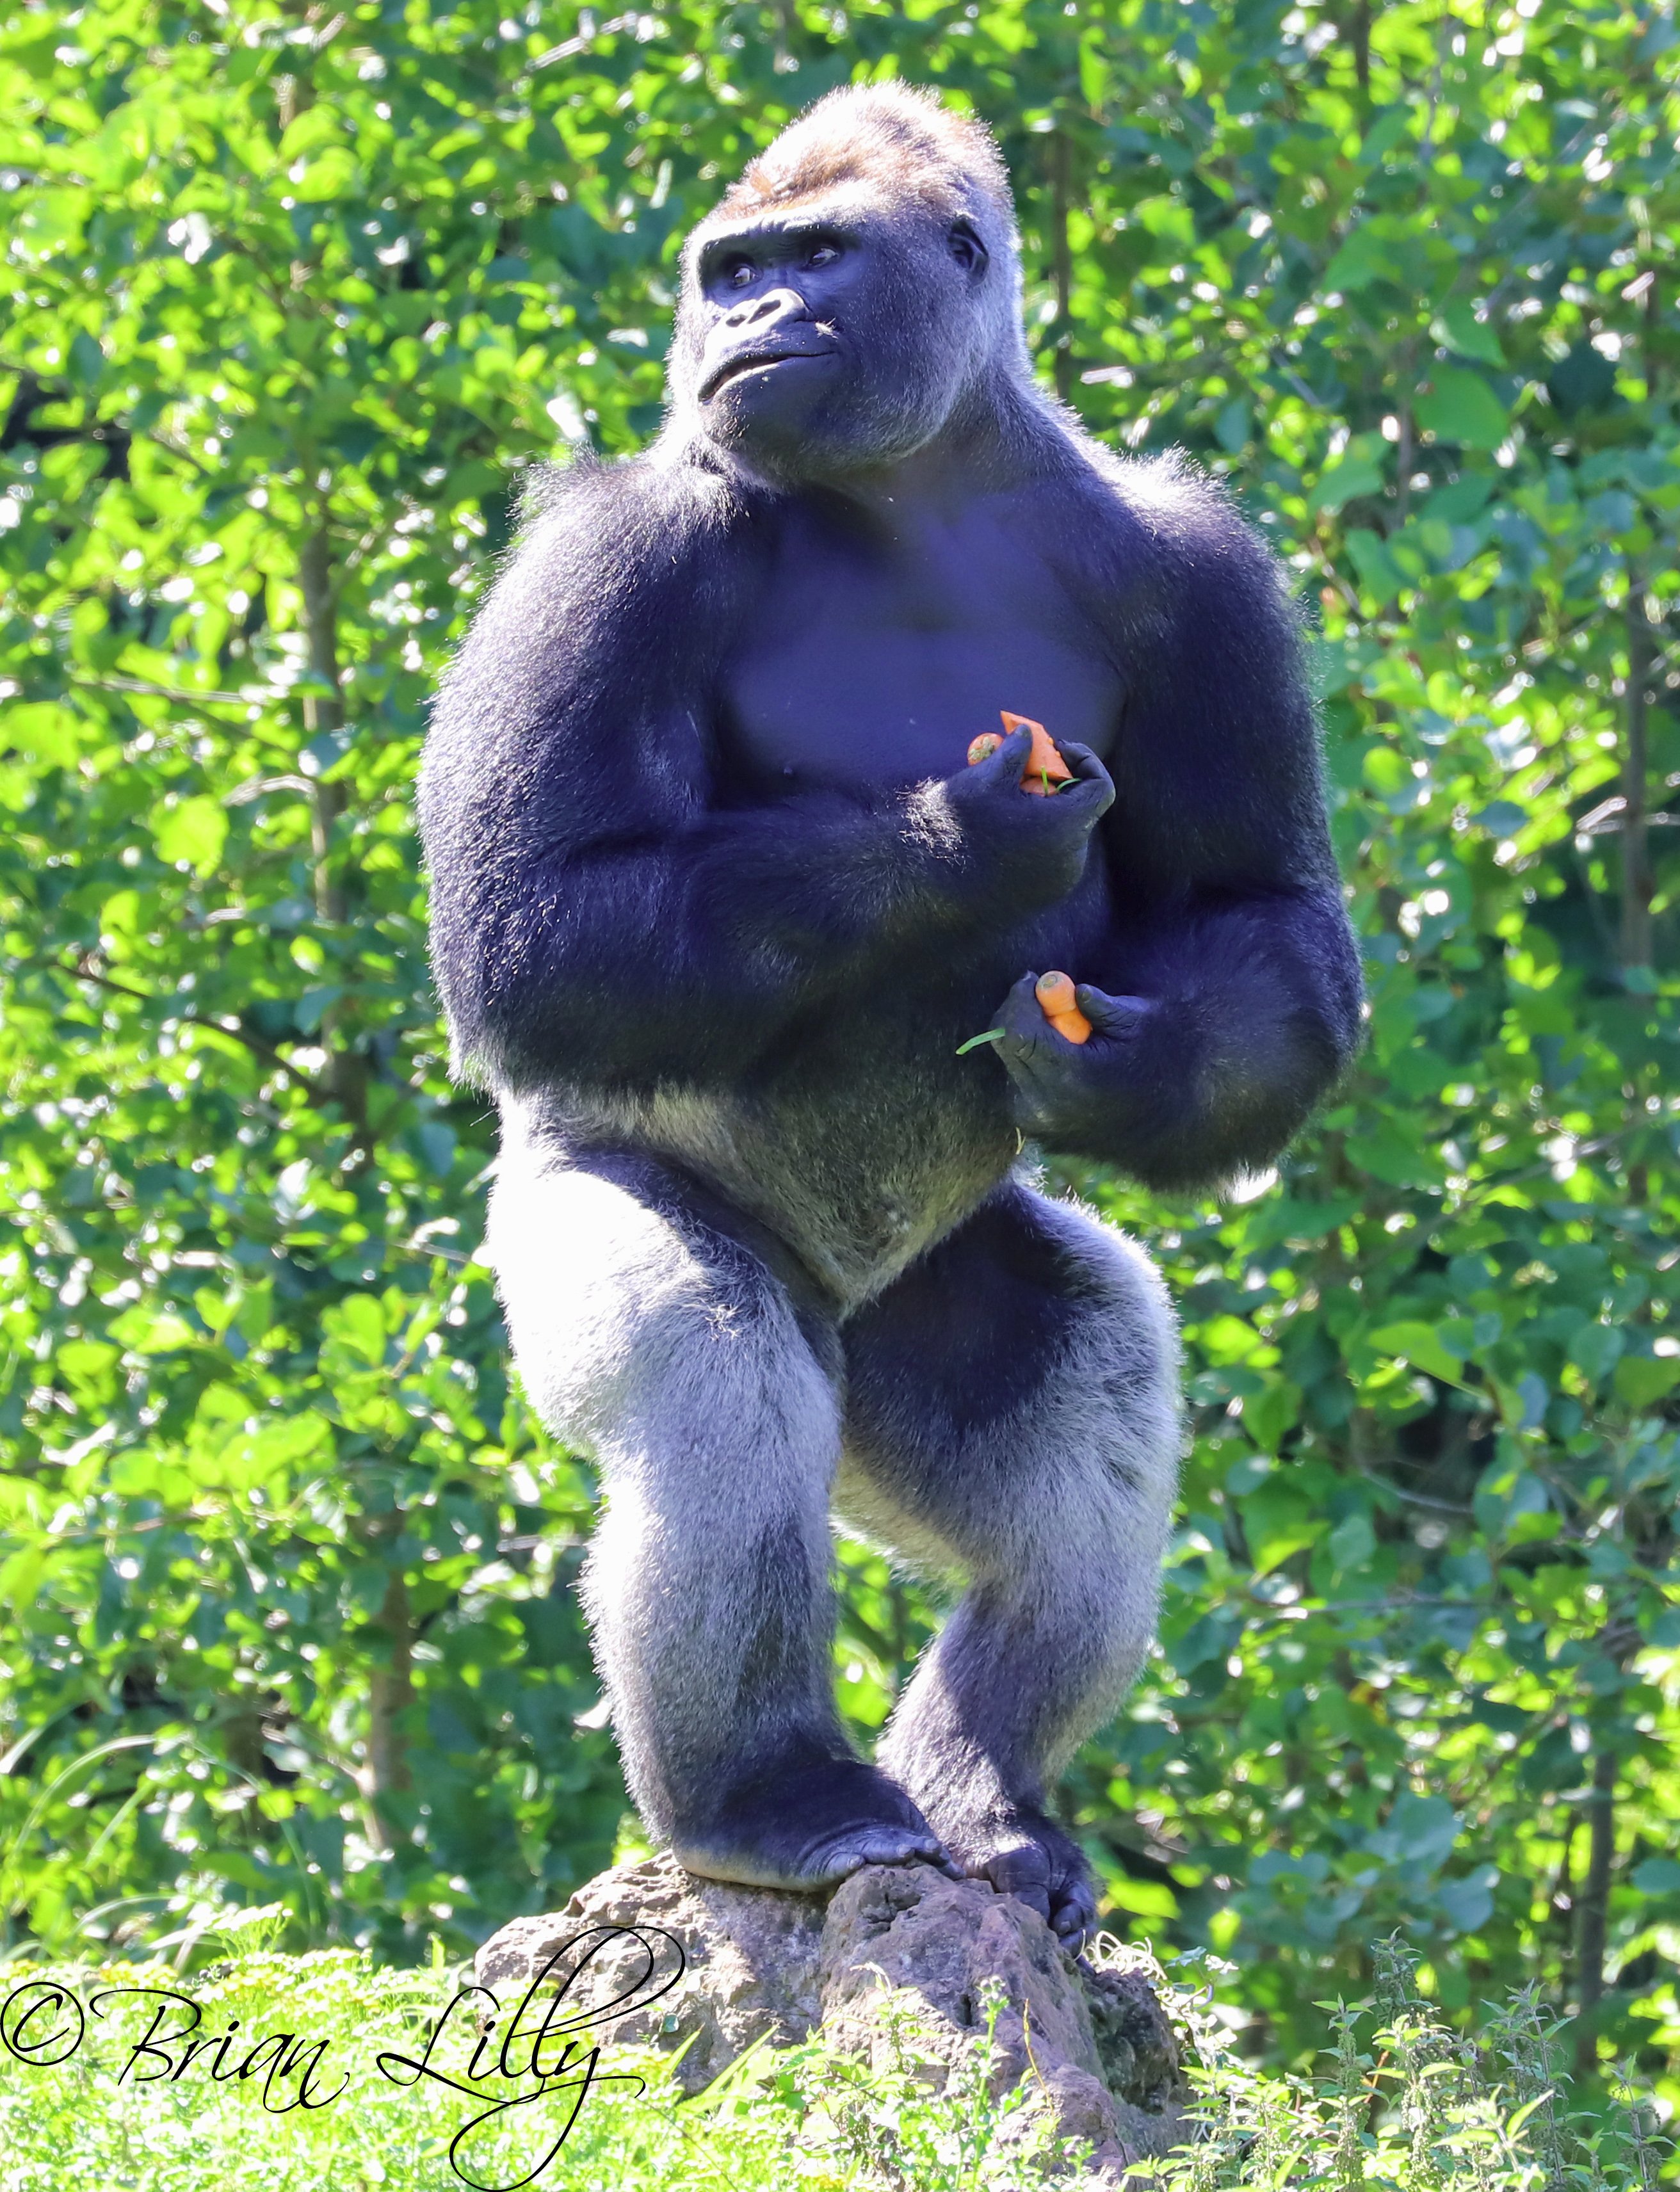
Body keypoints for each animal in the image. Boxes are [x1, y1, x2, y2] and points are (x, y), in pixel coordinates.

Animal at [419, 83, 1362, 1947]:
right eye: (731, 269)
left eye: (813, 255)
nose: (751, 322)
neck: (923, 486)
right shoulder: (619, 545)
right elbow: (529, 928)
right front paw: (964, 840)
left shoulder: (1201, 565)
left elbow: (1259, 913)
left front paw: (1136, 1071)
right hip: (594, 1240)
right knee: (712, 1378)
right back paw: (762, 1797)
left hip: (911, 1332)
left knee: (1091, 1383)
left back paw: (989, 1791)